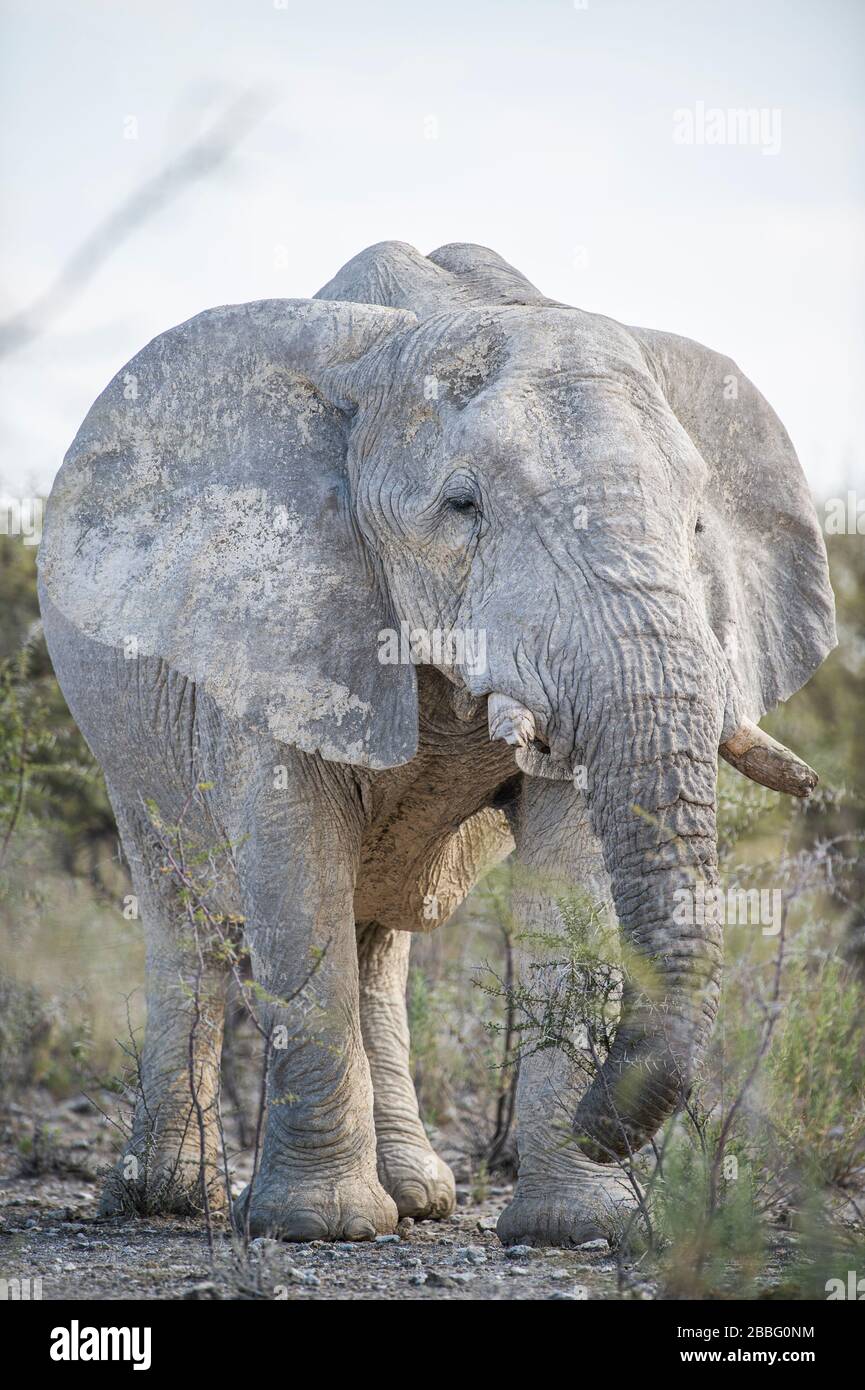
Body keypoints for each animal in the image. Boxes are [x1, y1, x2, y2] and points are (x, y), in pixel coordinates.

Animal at [37, 239, 835, 1247]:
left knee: (374, 939)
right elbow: (294, 871)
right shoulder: (263, 623)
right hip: (118, 734)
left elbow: (567, 879)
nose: (611, 1128)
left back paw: (417, 1196)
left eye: (697, 524)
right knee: (189, 922)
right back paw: (175, 1201)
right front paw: (319, 1227)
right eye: (463, 505)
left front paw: (582, 1227)